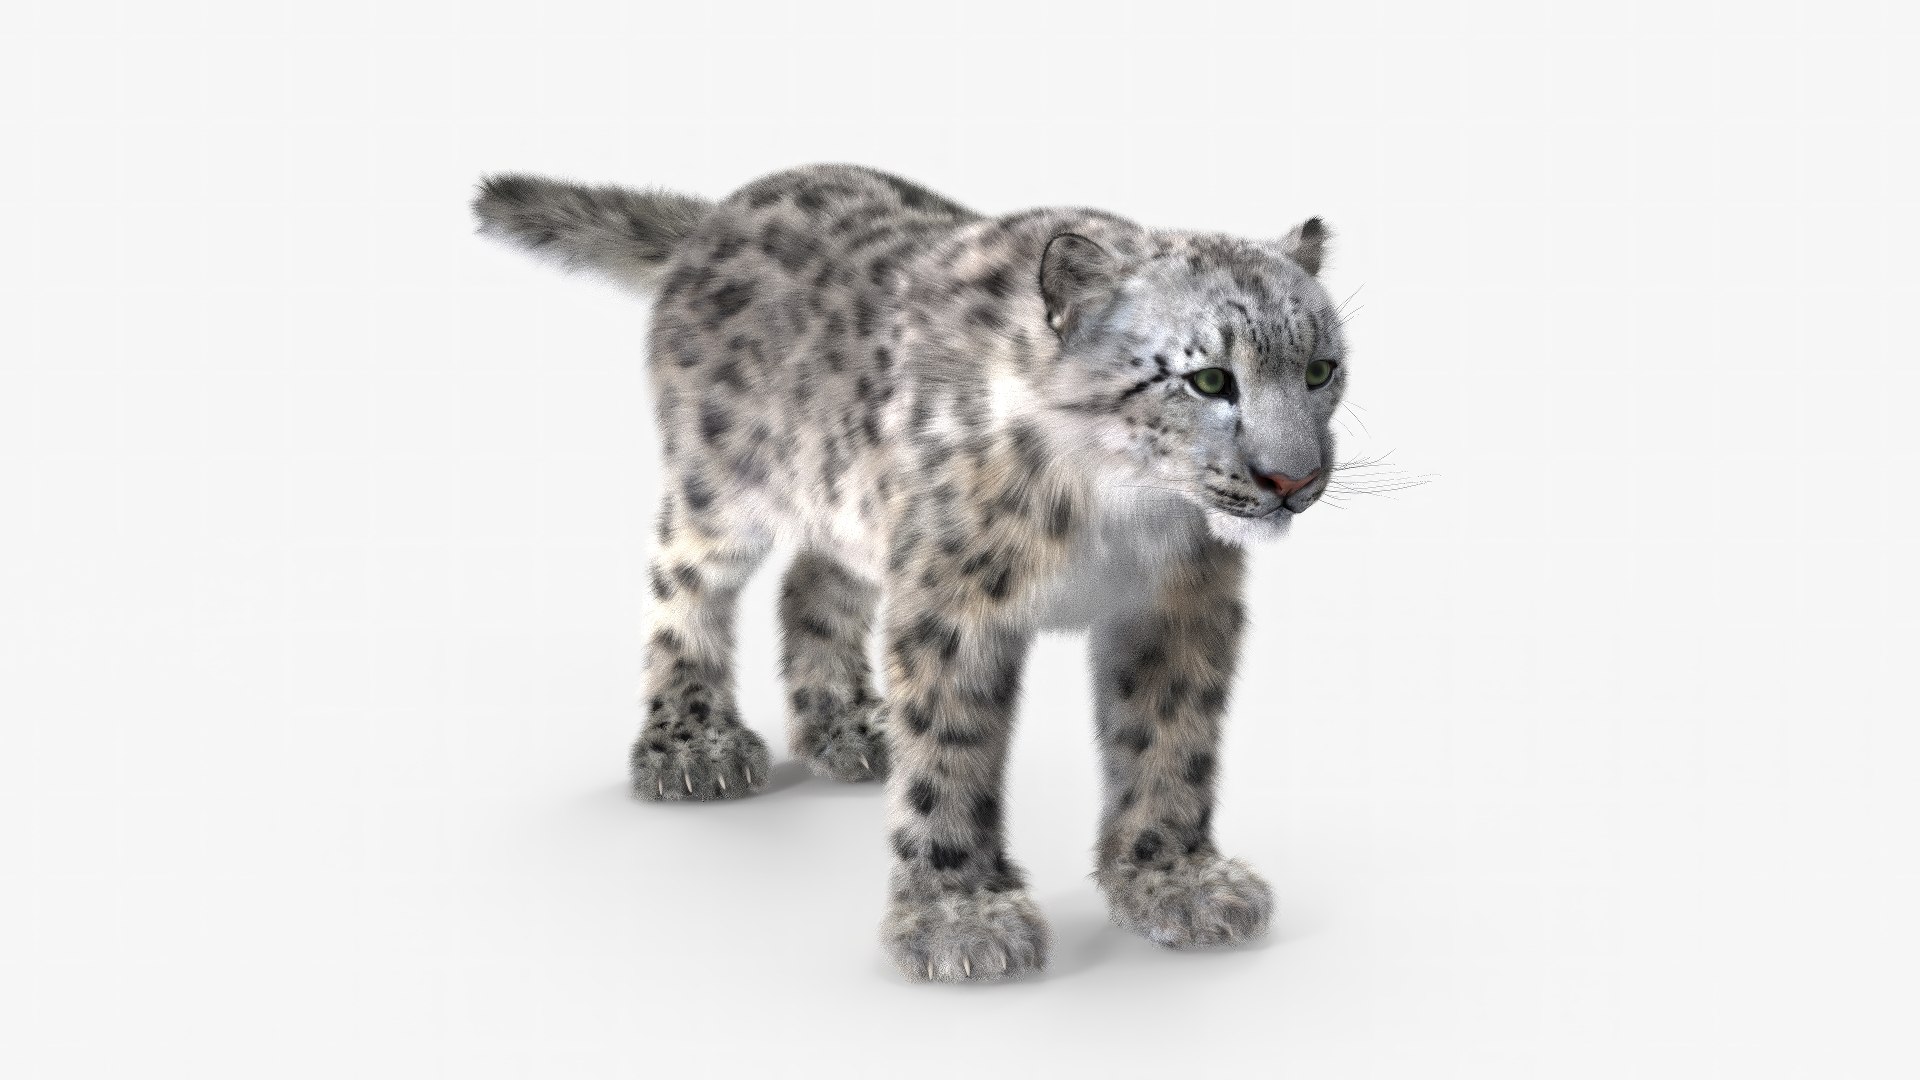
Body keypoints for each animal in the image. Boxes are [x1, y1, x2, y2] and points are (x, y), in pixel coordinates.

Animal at [472, 164, 1348, 982]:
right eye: (1208, 379)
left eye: (1321, 370)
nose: (1293, 480)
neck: (1123, 519)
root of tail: (720, 215)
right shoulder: (953, 601)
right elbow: (951, 753)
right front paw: (962, 918)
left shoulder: (1178, 606)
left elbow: (1171, 740)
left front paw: (1175, 880)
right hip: (721, 490)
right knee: (680, 585)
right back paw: (693, 748)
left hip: (852, 507)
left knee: (810, 584)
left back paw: (848, 726)